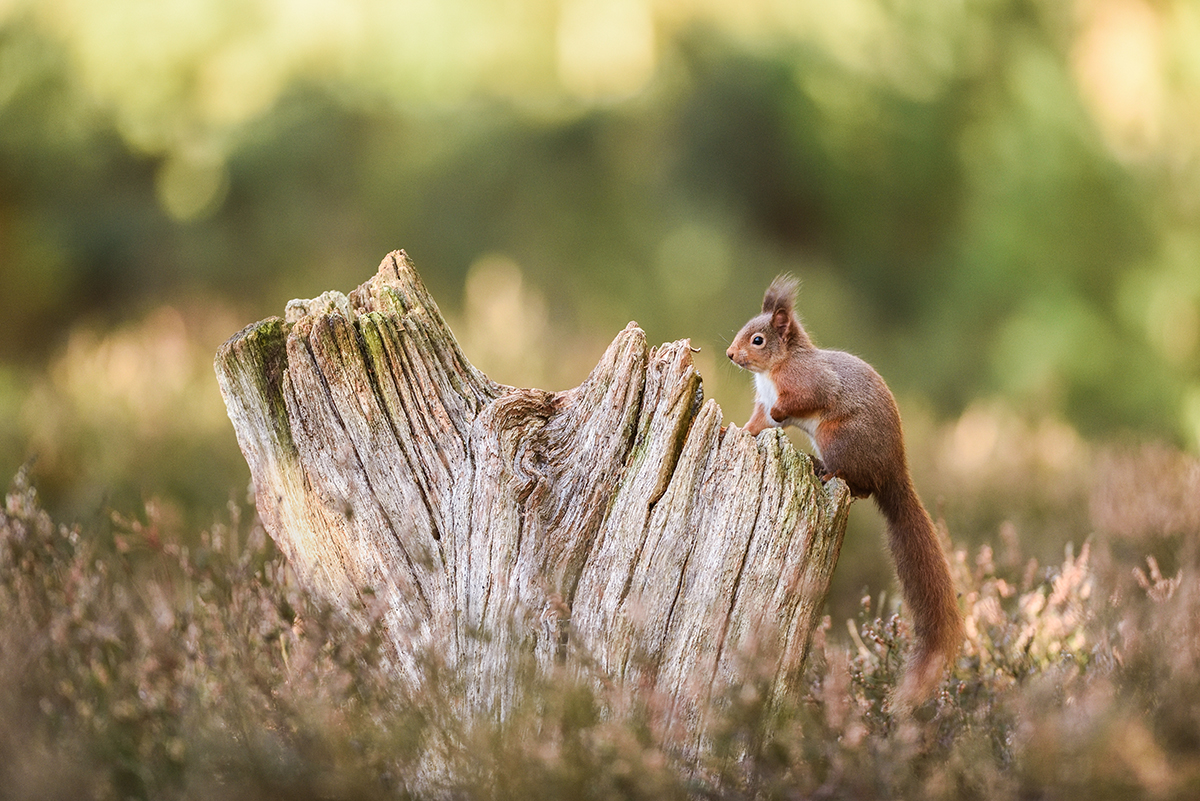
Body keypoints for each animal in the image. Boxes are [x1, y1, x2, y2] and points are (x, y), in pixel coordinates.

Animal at [726, 274, 963, 709]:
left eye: (758, 340)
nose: (731, 354)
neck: (776, 369)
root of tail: (893, 473)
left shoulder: (809, 384)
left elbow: (804, 399)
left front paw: (783, 412)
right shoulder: (763, 408)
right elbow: (757, 423)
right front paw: (737, 430)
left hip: (837, 438)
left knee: (858, 483)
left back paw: (825, 471)